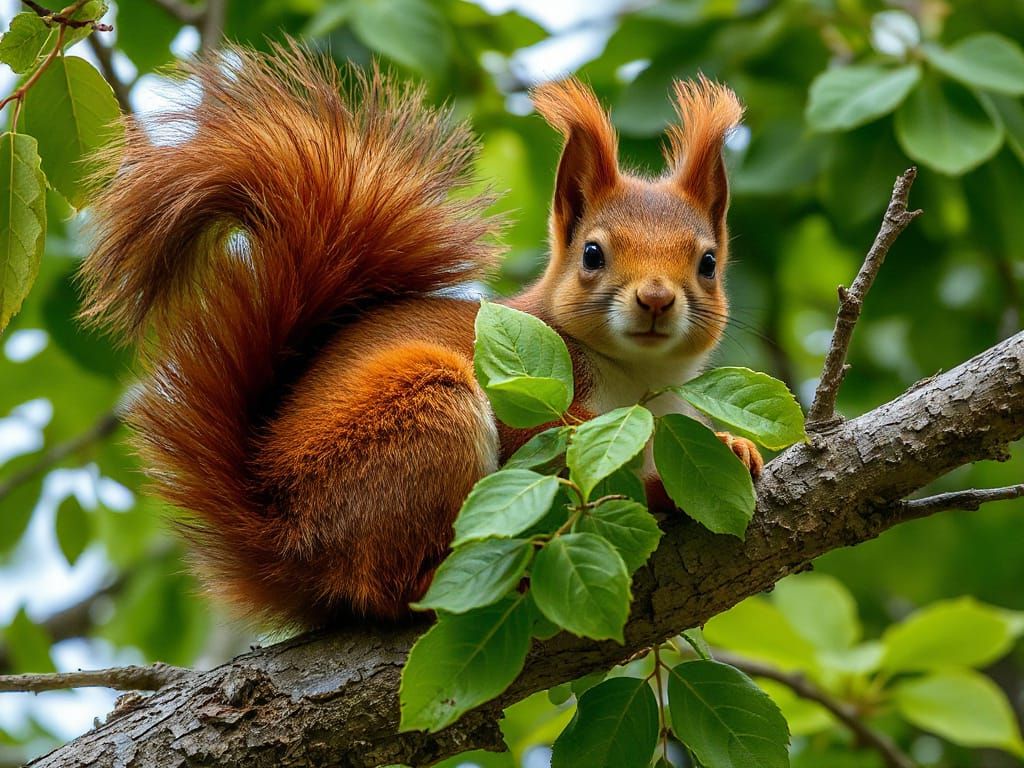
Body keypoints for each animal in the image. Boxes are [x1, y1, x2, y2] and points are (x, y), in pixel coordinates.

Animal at [79, 44, 762, 628]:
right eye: (592, 253)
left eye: (707, 262)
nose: (656, 298)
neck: (639, 381)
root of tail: (288, 543)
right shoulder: (535, 406)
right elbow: (564, 459)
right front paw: (658, 488)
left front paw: (735, 446)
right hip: (426, 416)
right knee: (392, 586)